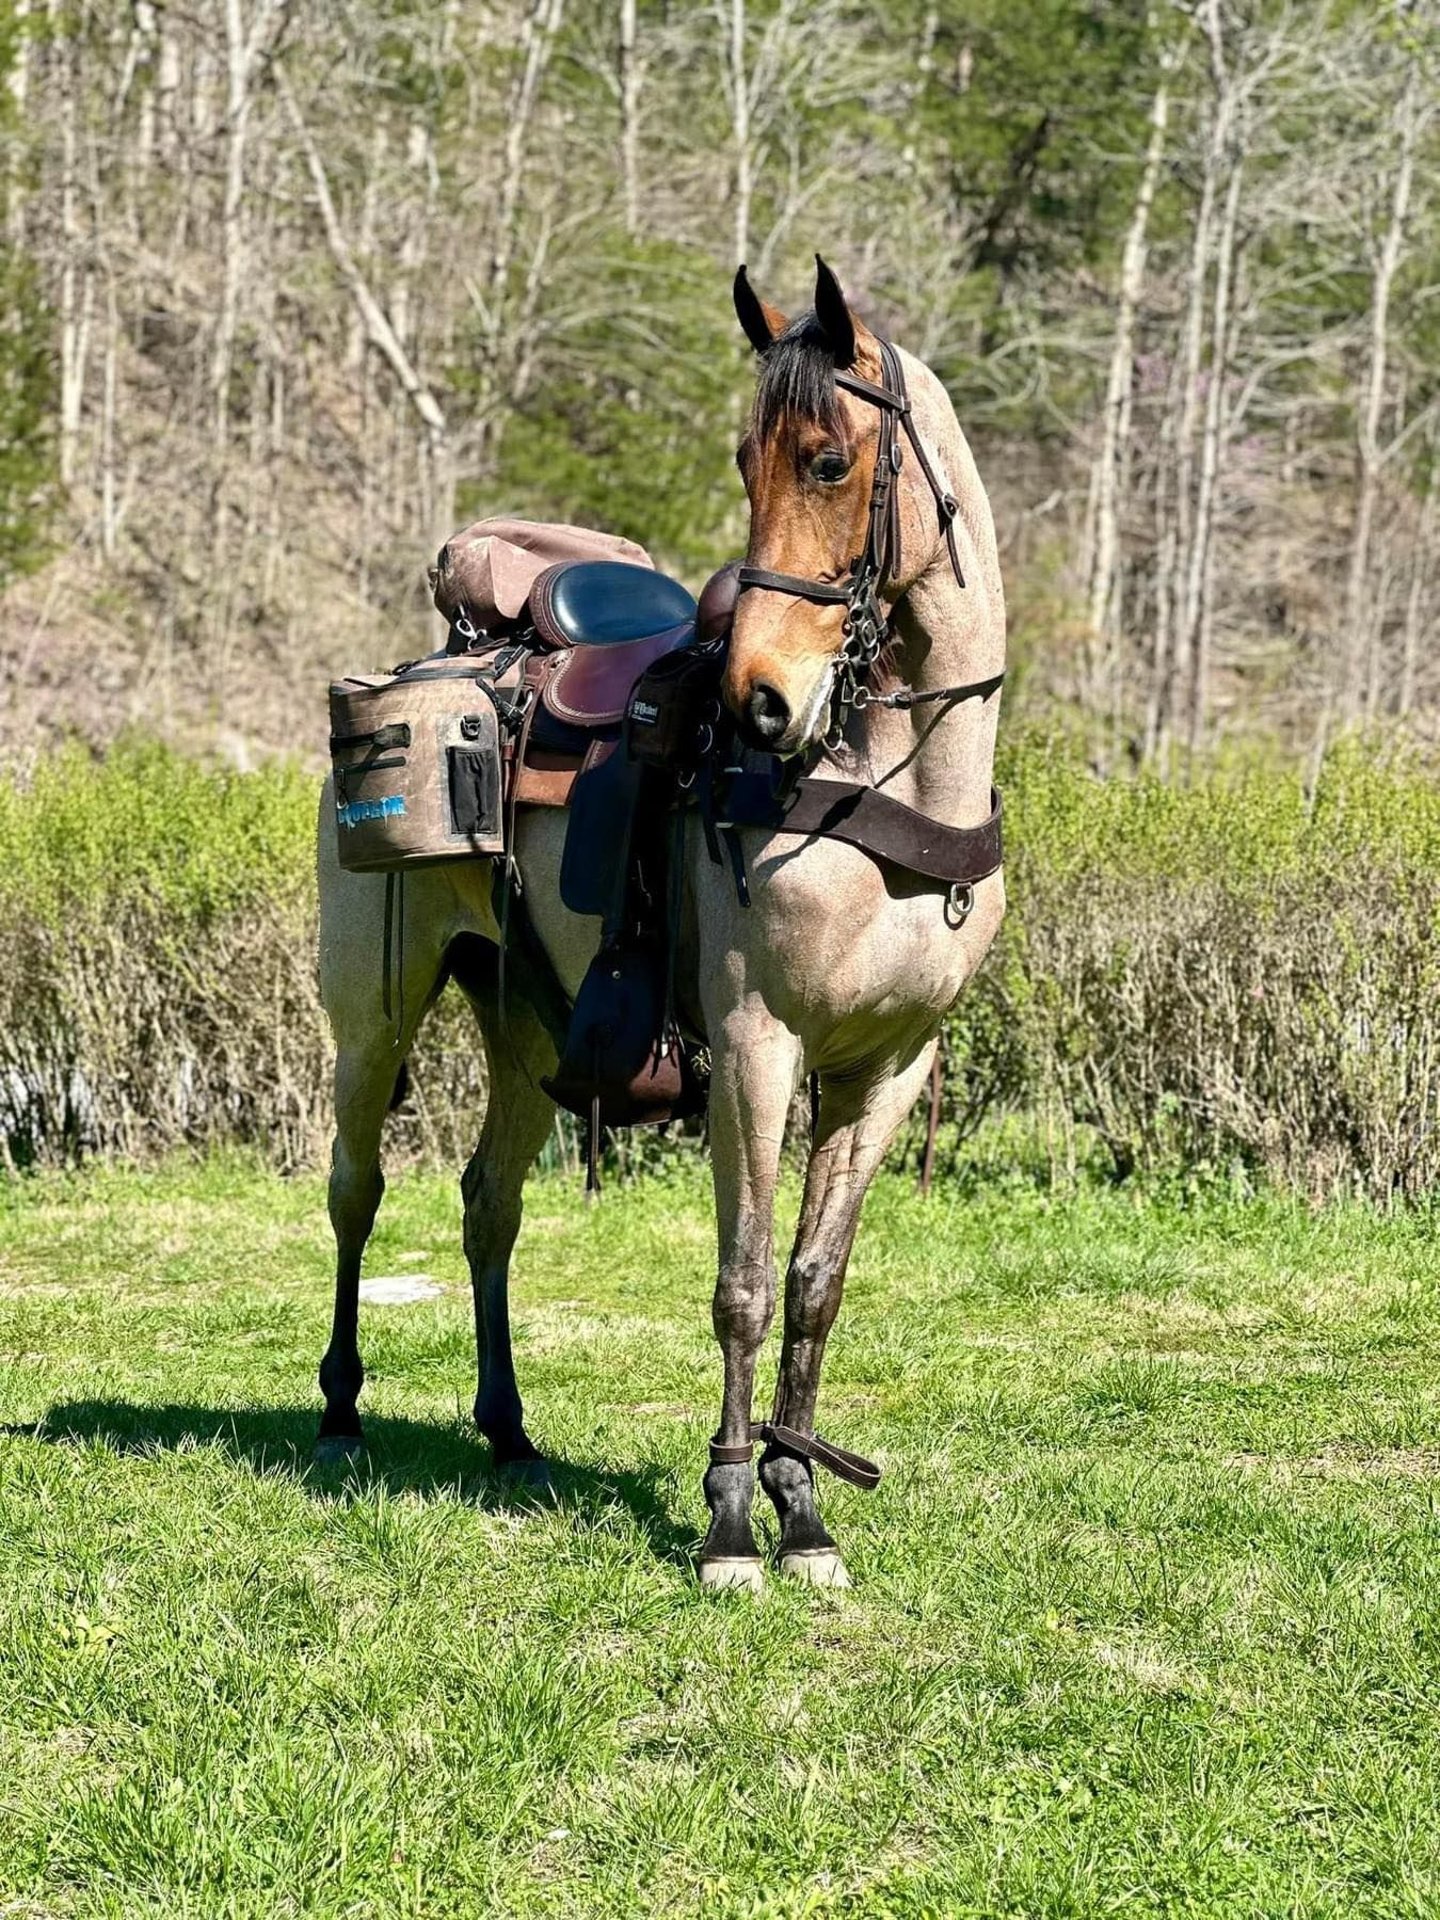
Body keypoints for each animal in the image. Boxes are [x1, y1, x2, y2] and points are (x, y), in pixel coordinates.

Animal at [315, 256, 1006, 1591]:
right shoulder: (753, 1045)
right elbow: (742, 1283)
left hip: (530, 1025)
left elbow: (814, 1285)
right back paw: (336, 1411)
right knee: (355, 1190)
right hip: (374, 1018)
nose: (762, 702)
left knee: (489, 1203)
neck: (890, 783)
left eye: (829, 460)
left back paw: (509, 1431)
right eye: (745, 461)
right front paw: (734, 1520)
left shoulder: (888, 1068)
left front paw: (803, 1509)